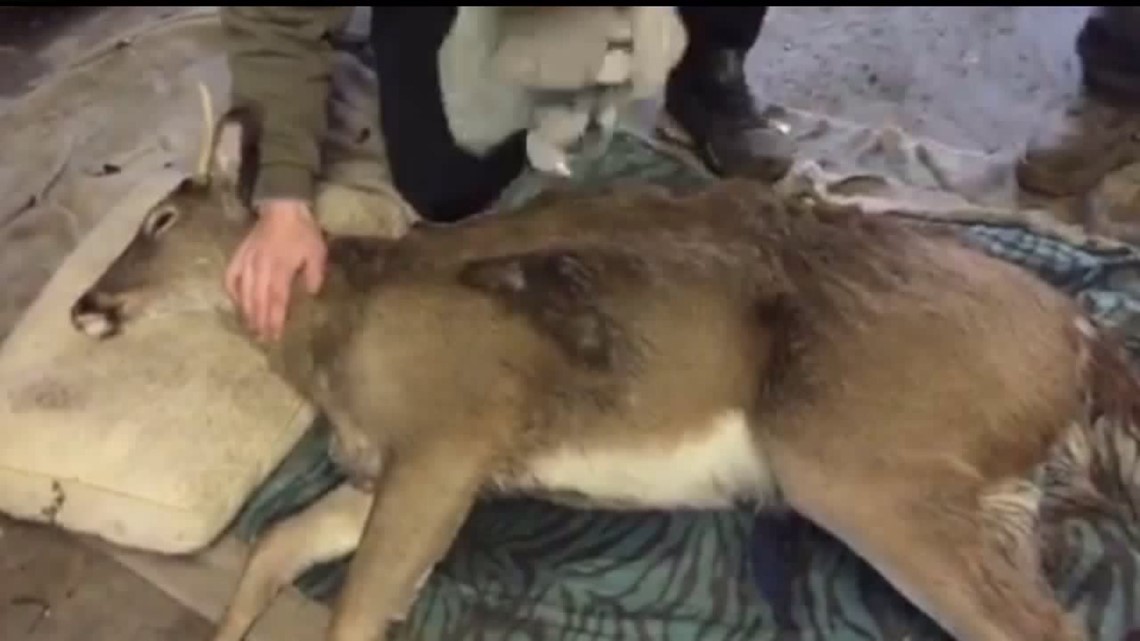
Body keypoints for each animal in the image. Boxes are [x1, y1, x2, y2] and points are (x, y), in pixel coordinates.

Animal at [69, 100, 1140, 641]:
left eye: (159, 220)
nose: (84, 307)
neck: (335, 328)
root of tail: (1083, 337)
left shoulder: (455, 426)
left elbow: (359, 606)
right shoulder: (391, 468)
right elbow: (277, 541)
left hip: (858, 455)